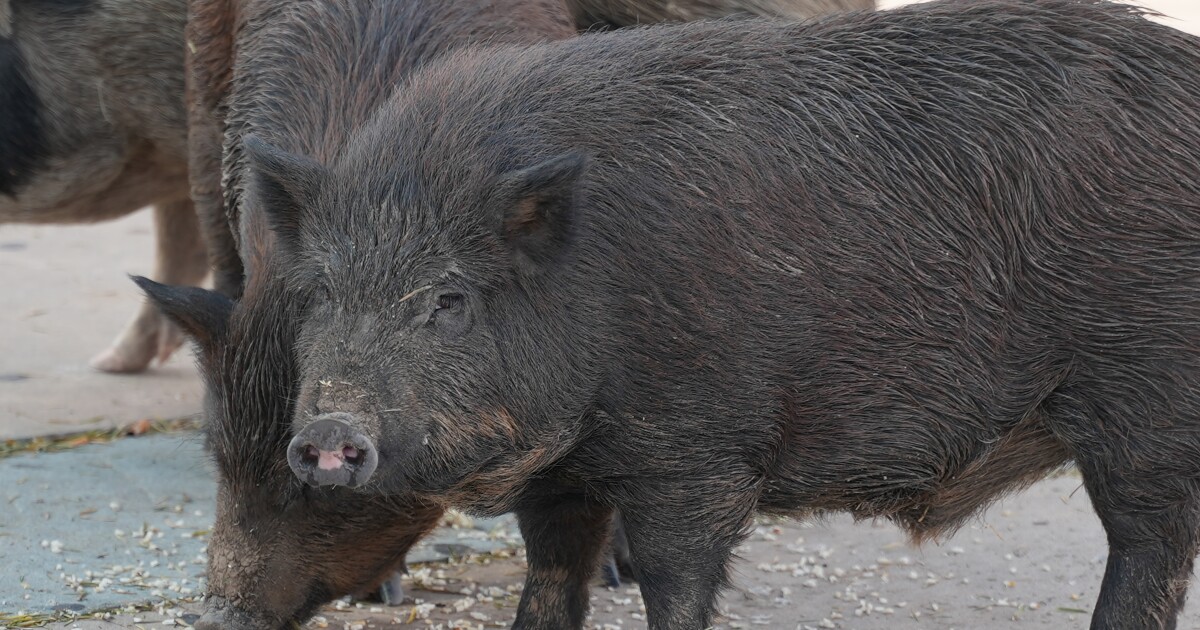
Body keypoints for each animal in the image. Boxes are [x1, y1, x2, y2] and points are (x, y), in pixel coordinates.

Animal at [259, 0, 1200, 628]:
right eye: (319, 295)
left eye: (449, 299)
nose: (327, 435)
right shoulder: (559, 476)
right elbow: (552, 579)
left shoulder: (697, 453)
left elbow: (678, 583)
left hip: (1145, 398)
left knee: (1151, 542)